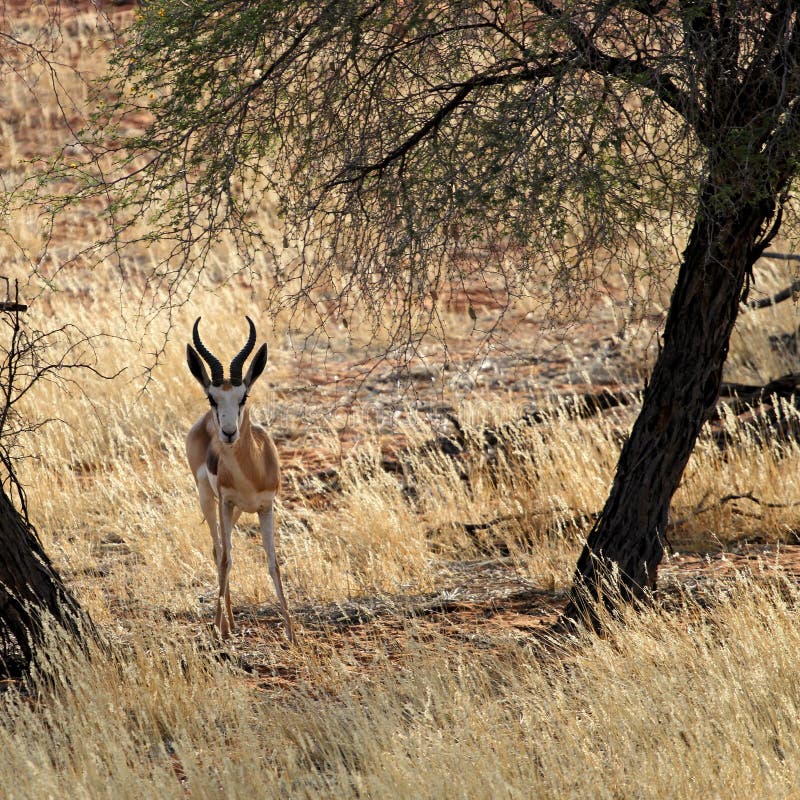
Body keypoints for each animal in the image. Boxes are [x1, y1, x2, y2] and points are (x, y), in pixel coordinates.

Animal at [185, 316, 294, 642]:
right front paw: (216, 627)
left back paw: (231, 622)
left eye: (243, 396)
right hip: (208, 499)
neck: (250, 474)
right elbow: (225, 559)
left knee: (224, 548)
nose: (229, 432)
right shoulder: (226, 502)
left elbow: (273, 564)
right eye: (212, 397)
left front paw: (292, 634)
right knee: (219, 549)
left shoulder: (267, 507)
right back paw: (226, 624)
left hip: (232, 512)